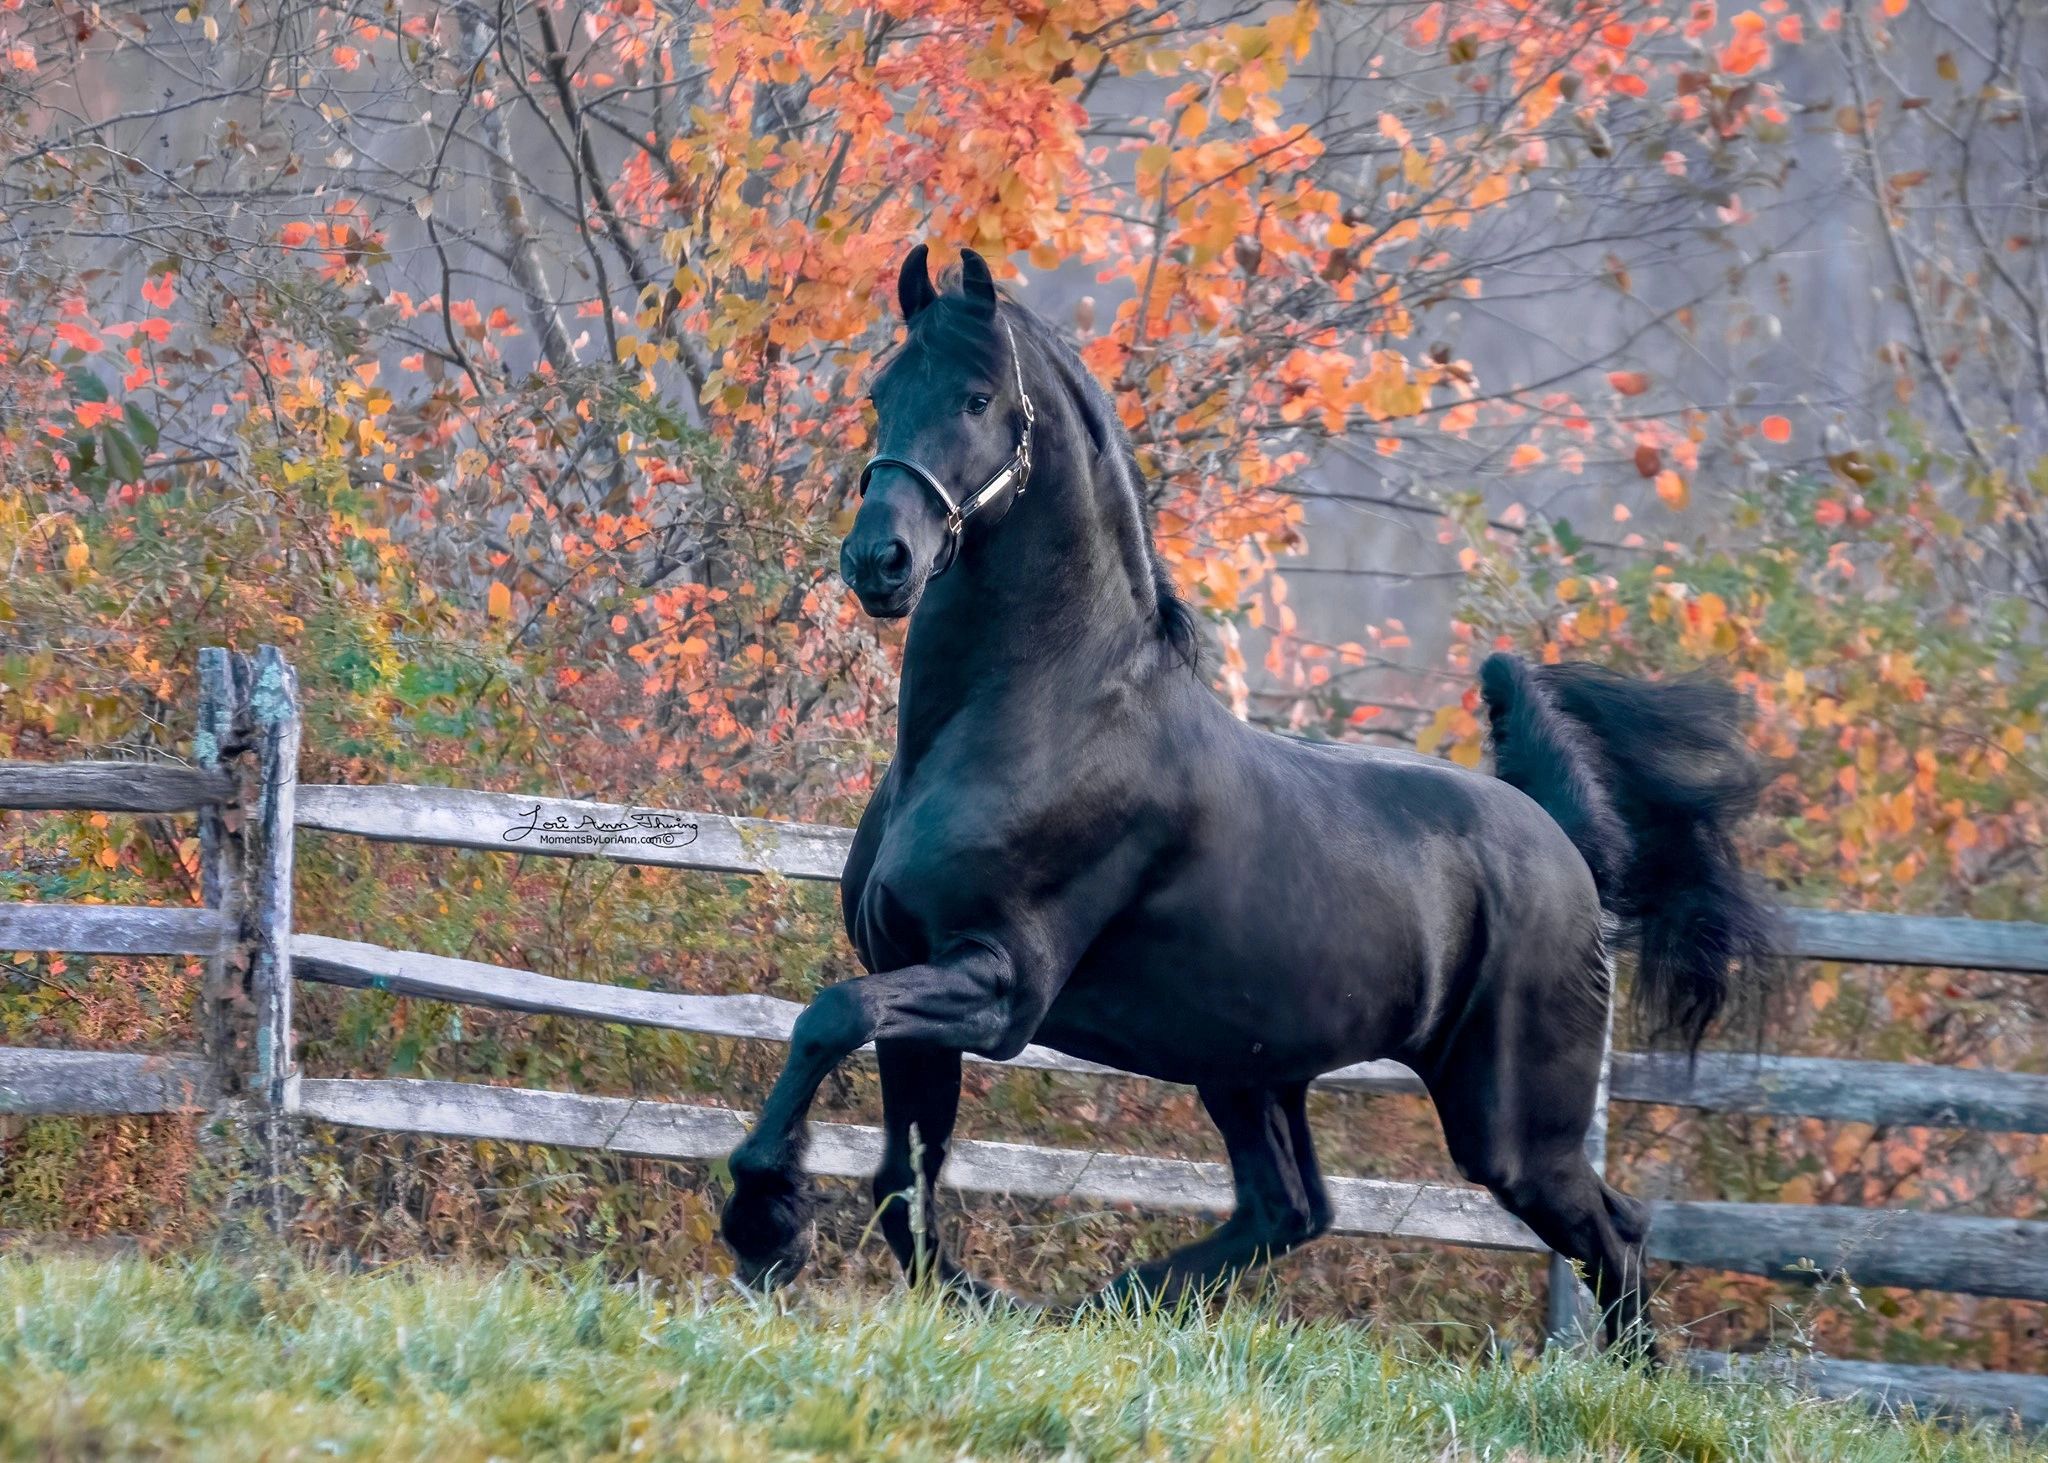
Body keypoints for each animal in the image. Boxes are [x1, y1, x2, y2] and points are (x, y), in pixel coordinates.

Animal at [719, 243, 1776, 1352]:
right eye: (882, 391)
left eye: (976, 398)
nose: (878, 560)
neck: (1036, 713)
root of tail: (1563, 845)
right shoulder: (910, 969)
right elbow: (899, 1180)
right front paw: (895, 1273)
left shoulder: (999, 983)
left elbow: (829, 1021)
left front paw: (764, 1219)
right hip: (1248, 1067)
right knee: (1292, 1208)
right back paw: (1103, 1307)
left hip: (1508, 1123)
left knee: (1611, 1227)